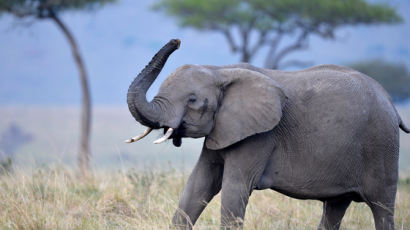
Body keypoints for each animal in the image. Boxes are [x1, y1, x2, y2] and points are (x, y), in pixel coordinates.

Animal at [125, 38, 410, 229]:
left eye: (193, 100)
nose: (177, 41)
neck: (220, 70)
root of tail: (391, 103)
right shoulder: (223, 129)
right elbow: (198, 185)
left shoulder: (260, 135)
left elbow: (234, 188)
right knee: (335, 206)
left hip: (382, 146)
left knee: (382, 208)